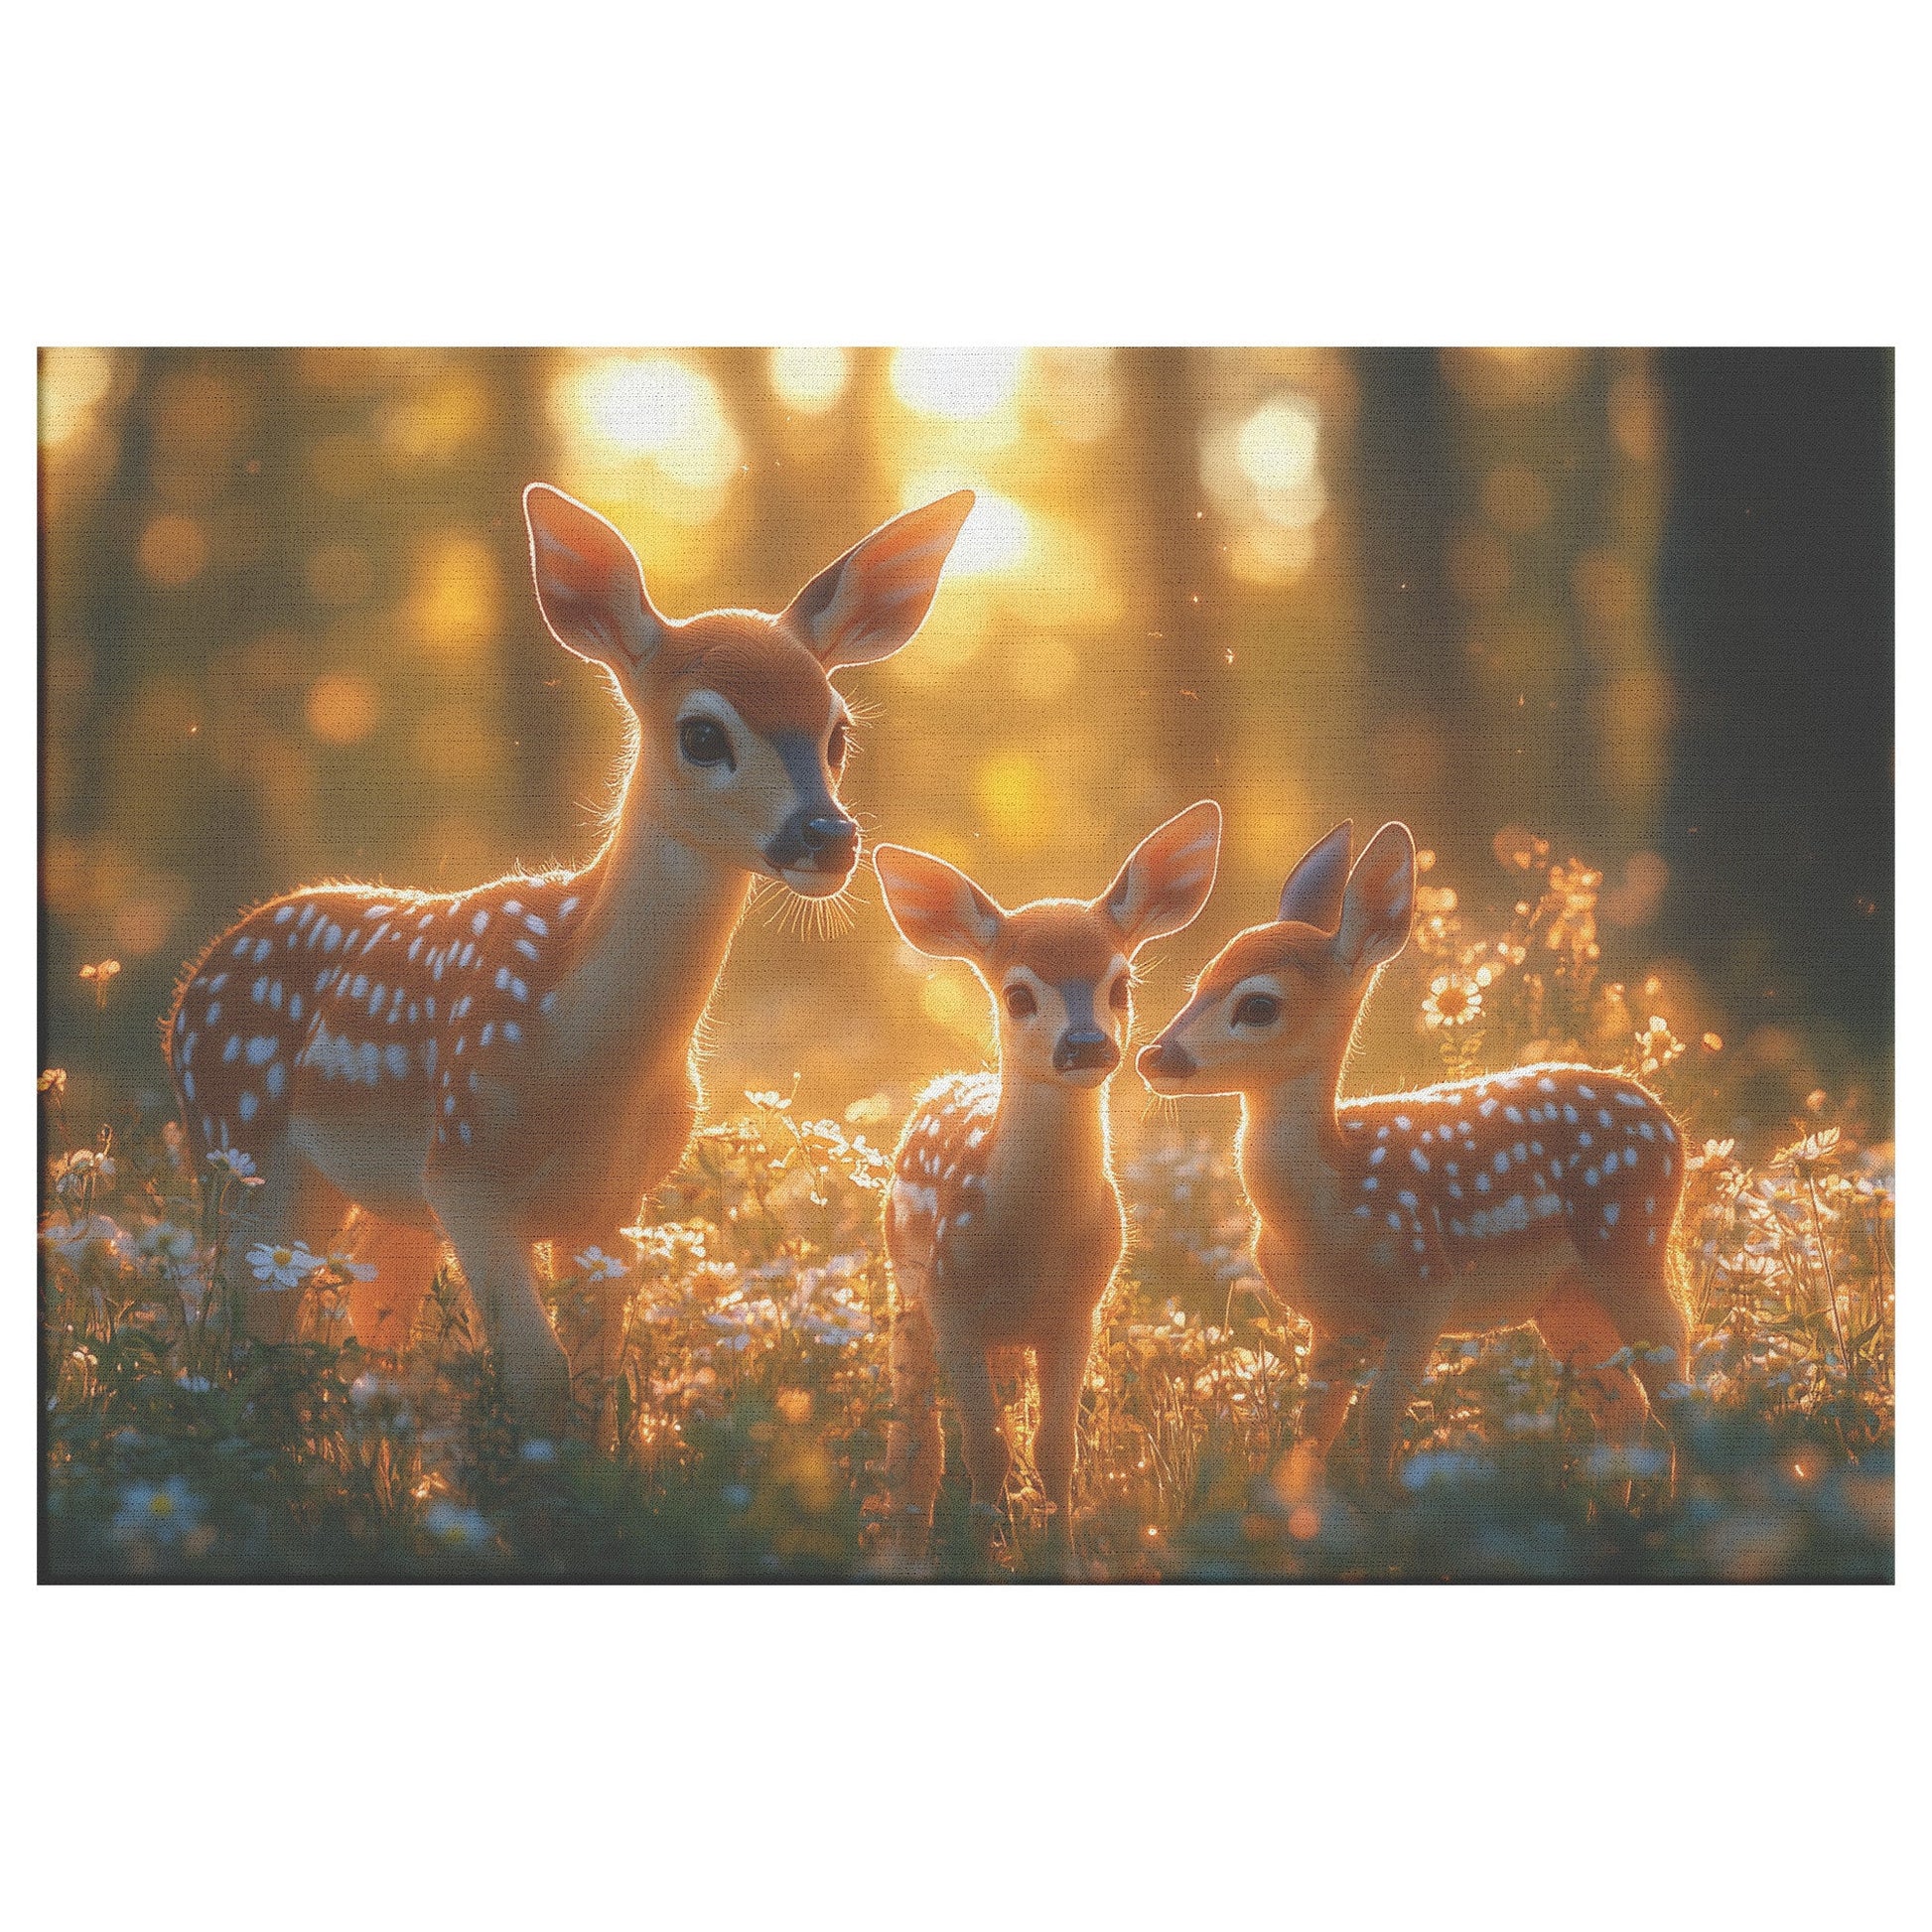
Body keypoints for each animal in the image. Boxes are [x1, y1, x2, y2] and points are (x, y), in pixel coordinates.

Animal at [164, 481, 975, 1434]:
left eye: (837, 732)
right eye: (703, 734)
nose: (827, 836)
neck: (581, 1050)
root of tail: (194, 982)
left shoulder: (614, 1203)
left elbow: (594, 1385)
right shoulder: (466, 1169)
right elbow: (539, 1377)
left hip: (379, 1200)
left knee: (364, 1338)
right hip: (238, 1151)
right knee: (244, 1336)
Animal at [872, 801, 1222, 1558]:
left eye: (1121, 984)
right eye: (1018, 994)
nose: (1087, 1045)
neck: (1029, 1245)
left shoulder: (1075, 1314)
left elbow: (1055, 1450)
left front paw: (1061, 1555)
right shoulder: (953, 1305)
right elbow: (985, 1451)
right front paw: (979, 1556)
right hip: (906, 1296)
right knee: (914, 1444)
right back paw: (907, 1551)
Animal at [1137, 820, 1690, 1493]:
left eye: (1259, 1004)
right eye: (1200, 981)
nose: (1155, 1057)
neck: (1334, 1199)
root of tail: (1668, 1123)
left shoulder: (1424, 1296)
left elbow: (1377, 1423)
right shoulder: (1333, 1322)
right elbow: (1311, 1434)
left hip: (1630, 1249)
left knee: (1676, 1379)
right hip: (1564, 1298)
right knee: (1624, 1406)